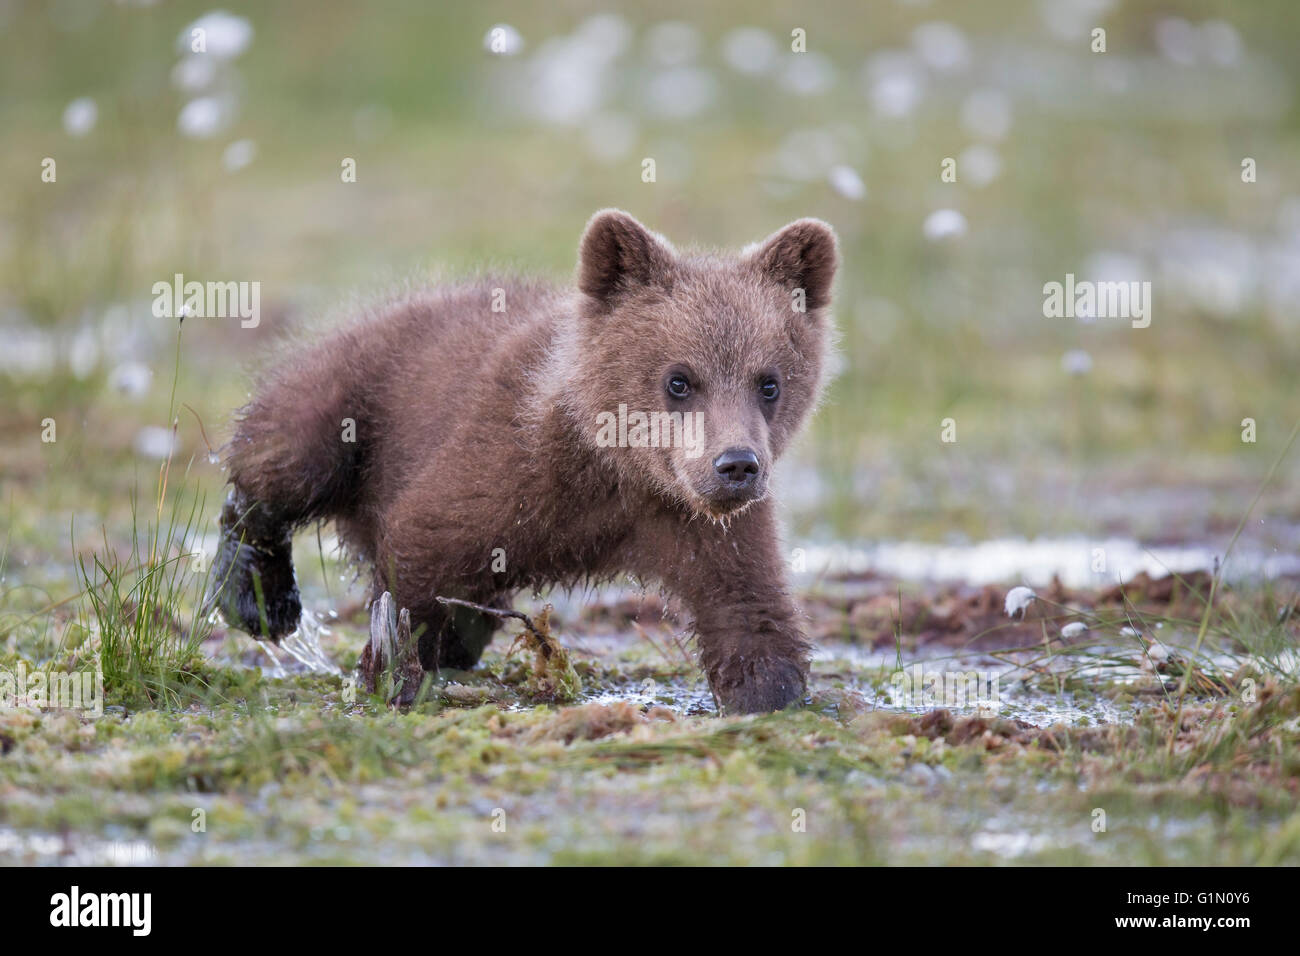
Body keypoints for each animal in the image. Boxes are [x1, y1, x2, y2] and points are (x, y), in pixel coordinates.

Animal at [209, 209, 838, 713]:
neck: (613, 472)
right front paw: (392, 672)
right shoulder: (504, 464)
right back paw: (258, 596)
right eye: (679, 380)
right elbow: (422, 545)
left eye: (770, 382)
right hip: (353, 394)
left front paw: (769, 691)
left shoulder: (697, 523)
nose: (736, 464)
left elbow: (747, 605)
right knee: (285, 458)